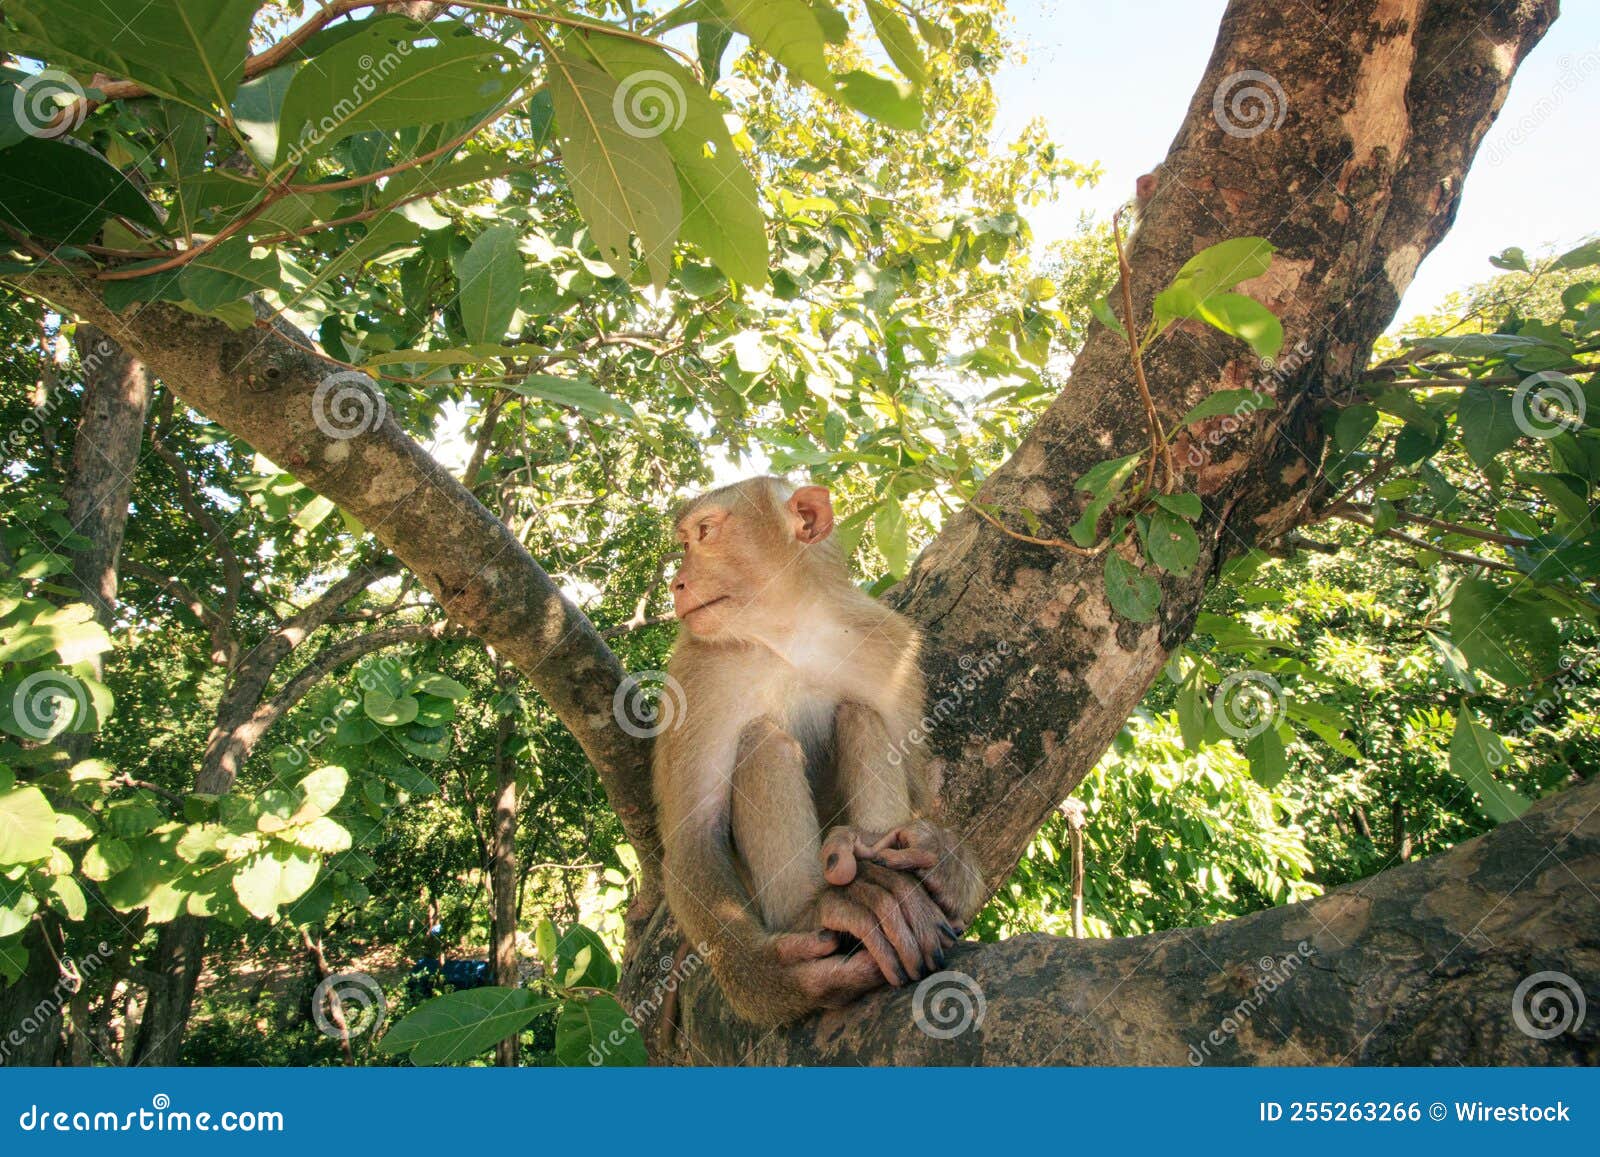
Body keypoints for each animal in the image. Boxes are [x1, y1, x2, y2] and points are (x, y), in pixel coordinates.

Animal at [651, 476, 986, 1027]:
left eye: (703, 533)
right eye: (685, 541)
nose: (676, 584)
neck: (789, 634)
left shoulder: (888, 647)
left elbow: (919, 786)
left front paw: (945, 859)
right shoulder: (696, 675)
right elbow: (694, 839)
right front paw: (777, 978)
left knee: (859, 715)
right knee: (763, 741)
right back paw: (820, 908)